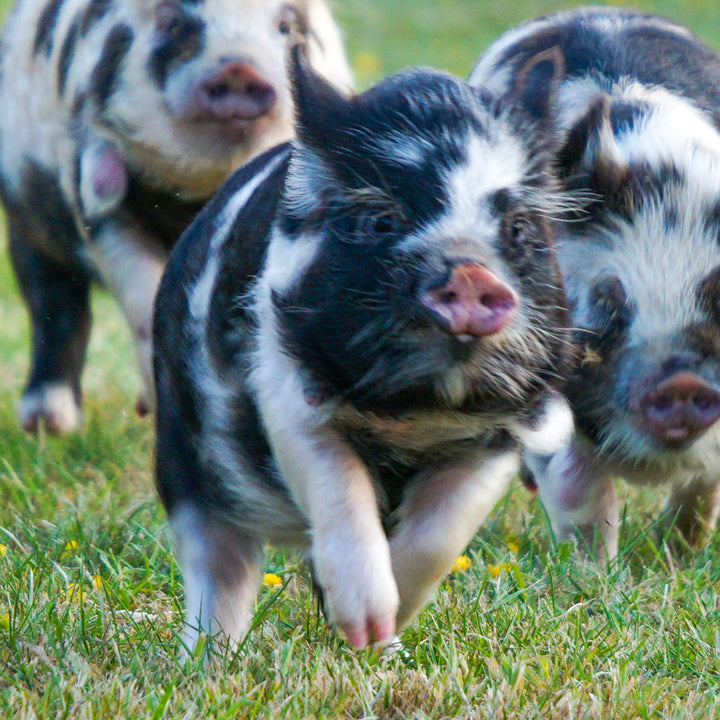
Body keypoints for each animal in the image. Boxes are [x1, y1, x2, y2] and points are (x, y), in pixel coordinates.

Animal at [0, 0, 352, 434]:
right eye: (173, 22)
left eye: (285, 25)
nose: (238, 67)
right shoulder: (94, 189)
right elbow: (140, 295)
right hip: (25, 221)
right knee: (53, 304)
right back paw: (48, 423)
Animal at [153, 43, 575, 651]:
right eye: (382, 220)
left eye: (519, 229)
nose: (471, 273)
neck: (418, 411)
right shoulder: (285, 393)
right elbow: (340, 489)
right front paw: (362, 626)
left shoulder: (499, 433)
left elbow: (440, 534)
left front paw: (379, 637)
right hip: (180, 450)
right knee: (220, 563)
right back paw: (208, 660)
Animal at [470, 6, 720, 558]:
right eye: (608, 302)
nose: (682, 381)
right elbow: (576, 482)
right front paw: (591, 568)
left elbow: (702, 488)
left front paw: (679, 557)